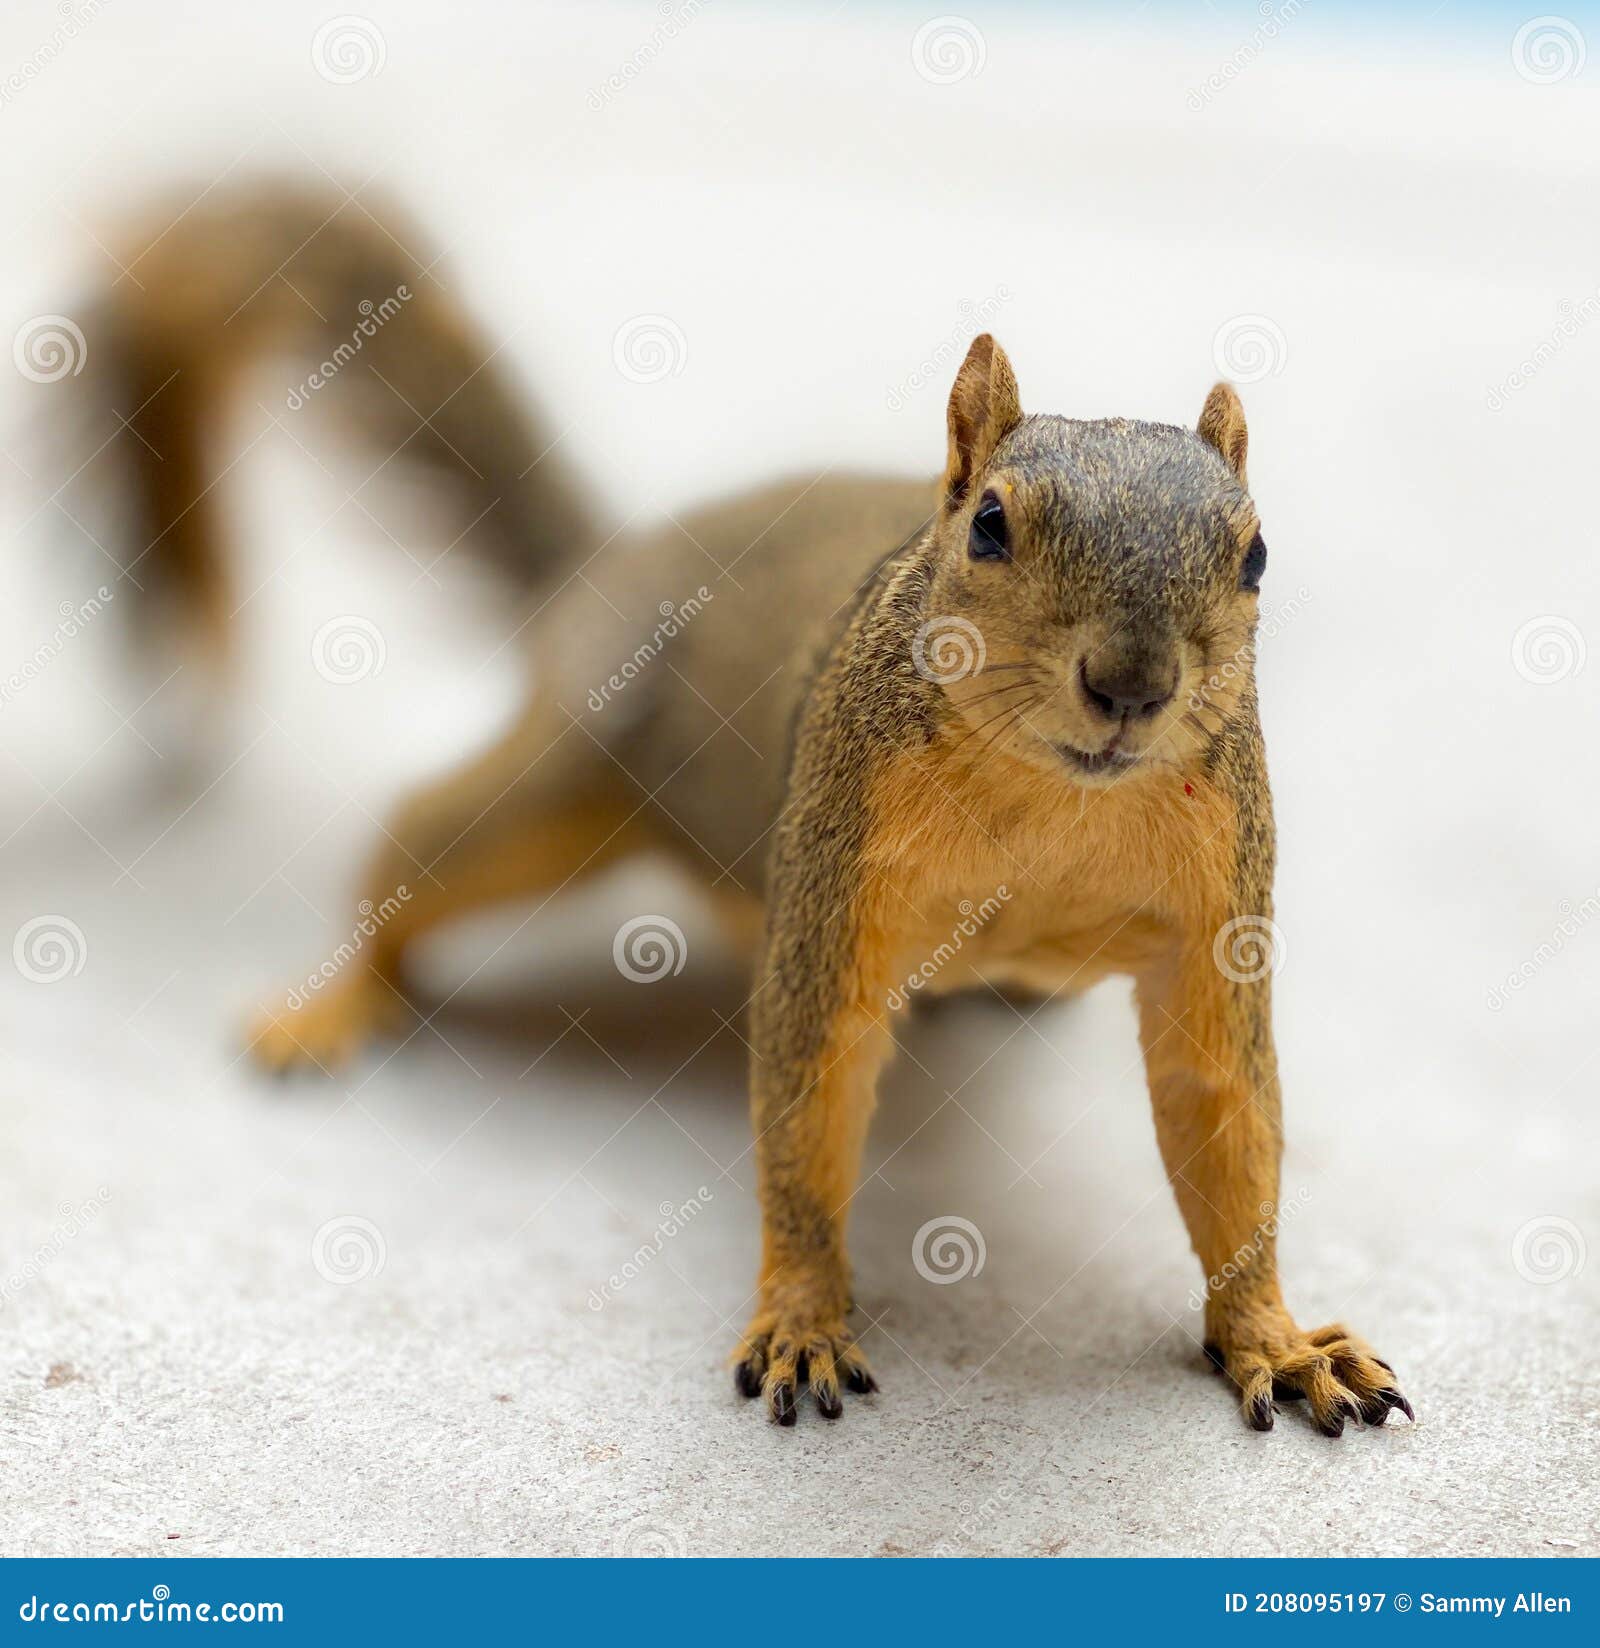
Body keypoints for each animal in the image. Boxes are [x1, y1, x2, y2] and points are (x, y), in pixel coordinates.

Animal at [60, 185, 1412, 1436]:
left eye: (1255, 554)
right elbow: (808, 1114)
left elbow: (1227, 1122)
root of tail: (616, 565)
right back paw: (327, 1001)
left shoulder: (1215, 916)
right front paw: (803, 1318)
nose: (1130, 686)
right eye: (987, 525)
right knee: (416, 847)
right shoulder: (829, 888)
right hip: (564, 784)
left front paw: (1275, 1339)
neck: (1057, 804)